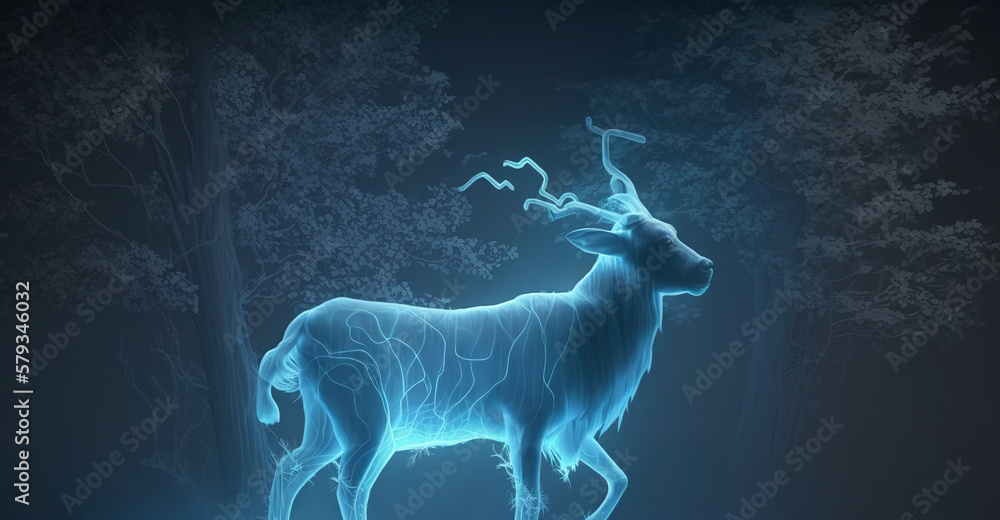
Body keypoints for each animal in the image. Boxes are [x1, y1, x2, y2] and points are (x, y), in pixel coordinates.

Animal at [256, 117, 714, 520]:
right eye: (661, 242)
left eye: (674, 231)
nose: (706, 267)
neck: (588, 331)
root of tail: (300, 326)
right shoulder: (528, 422)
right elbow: (529, 501)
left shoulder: (567, 427)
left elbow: (619, 478)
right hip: (362, 415)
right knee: (348, 487)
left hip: (335, 420)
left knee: (294, 468)